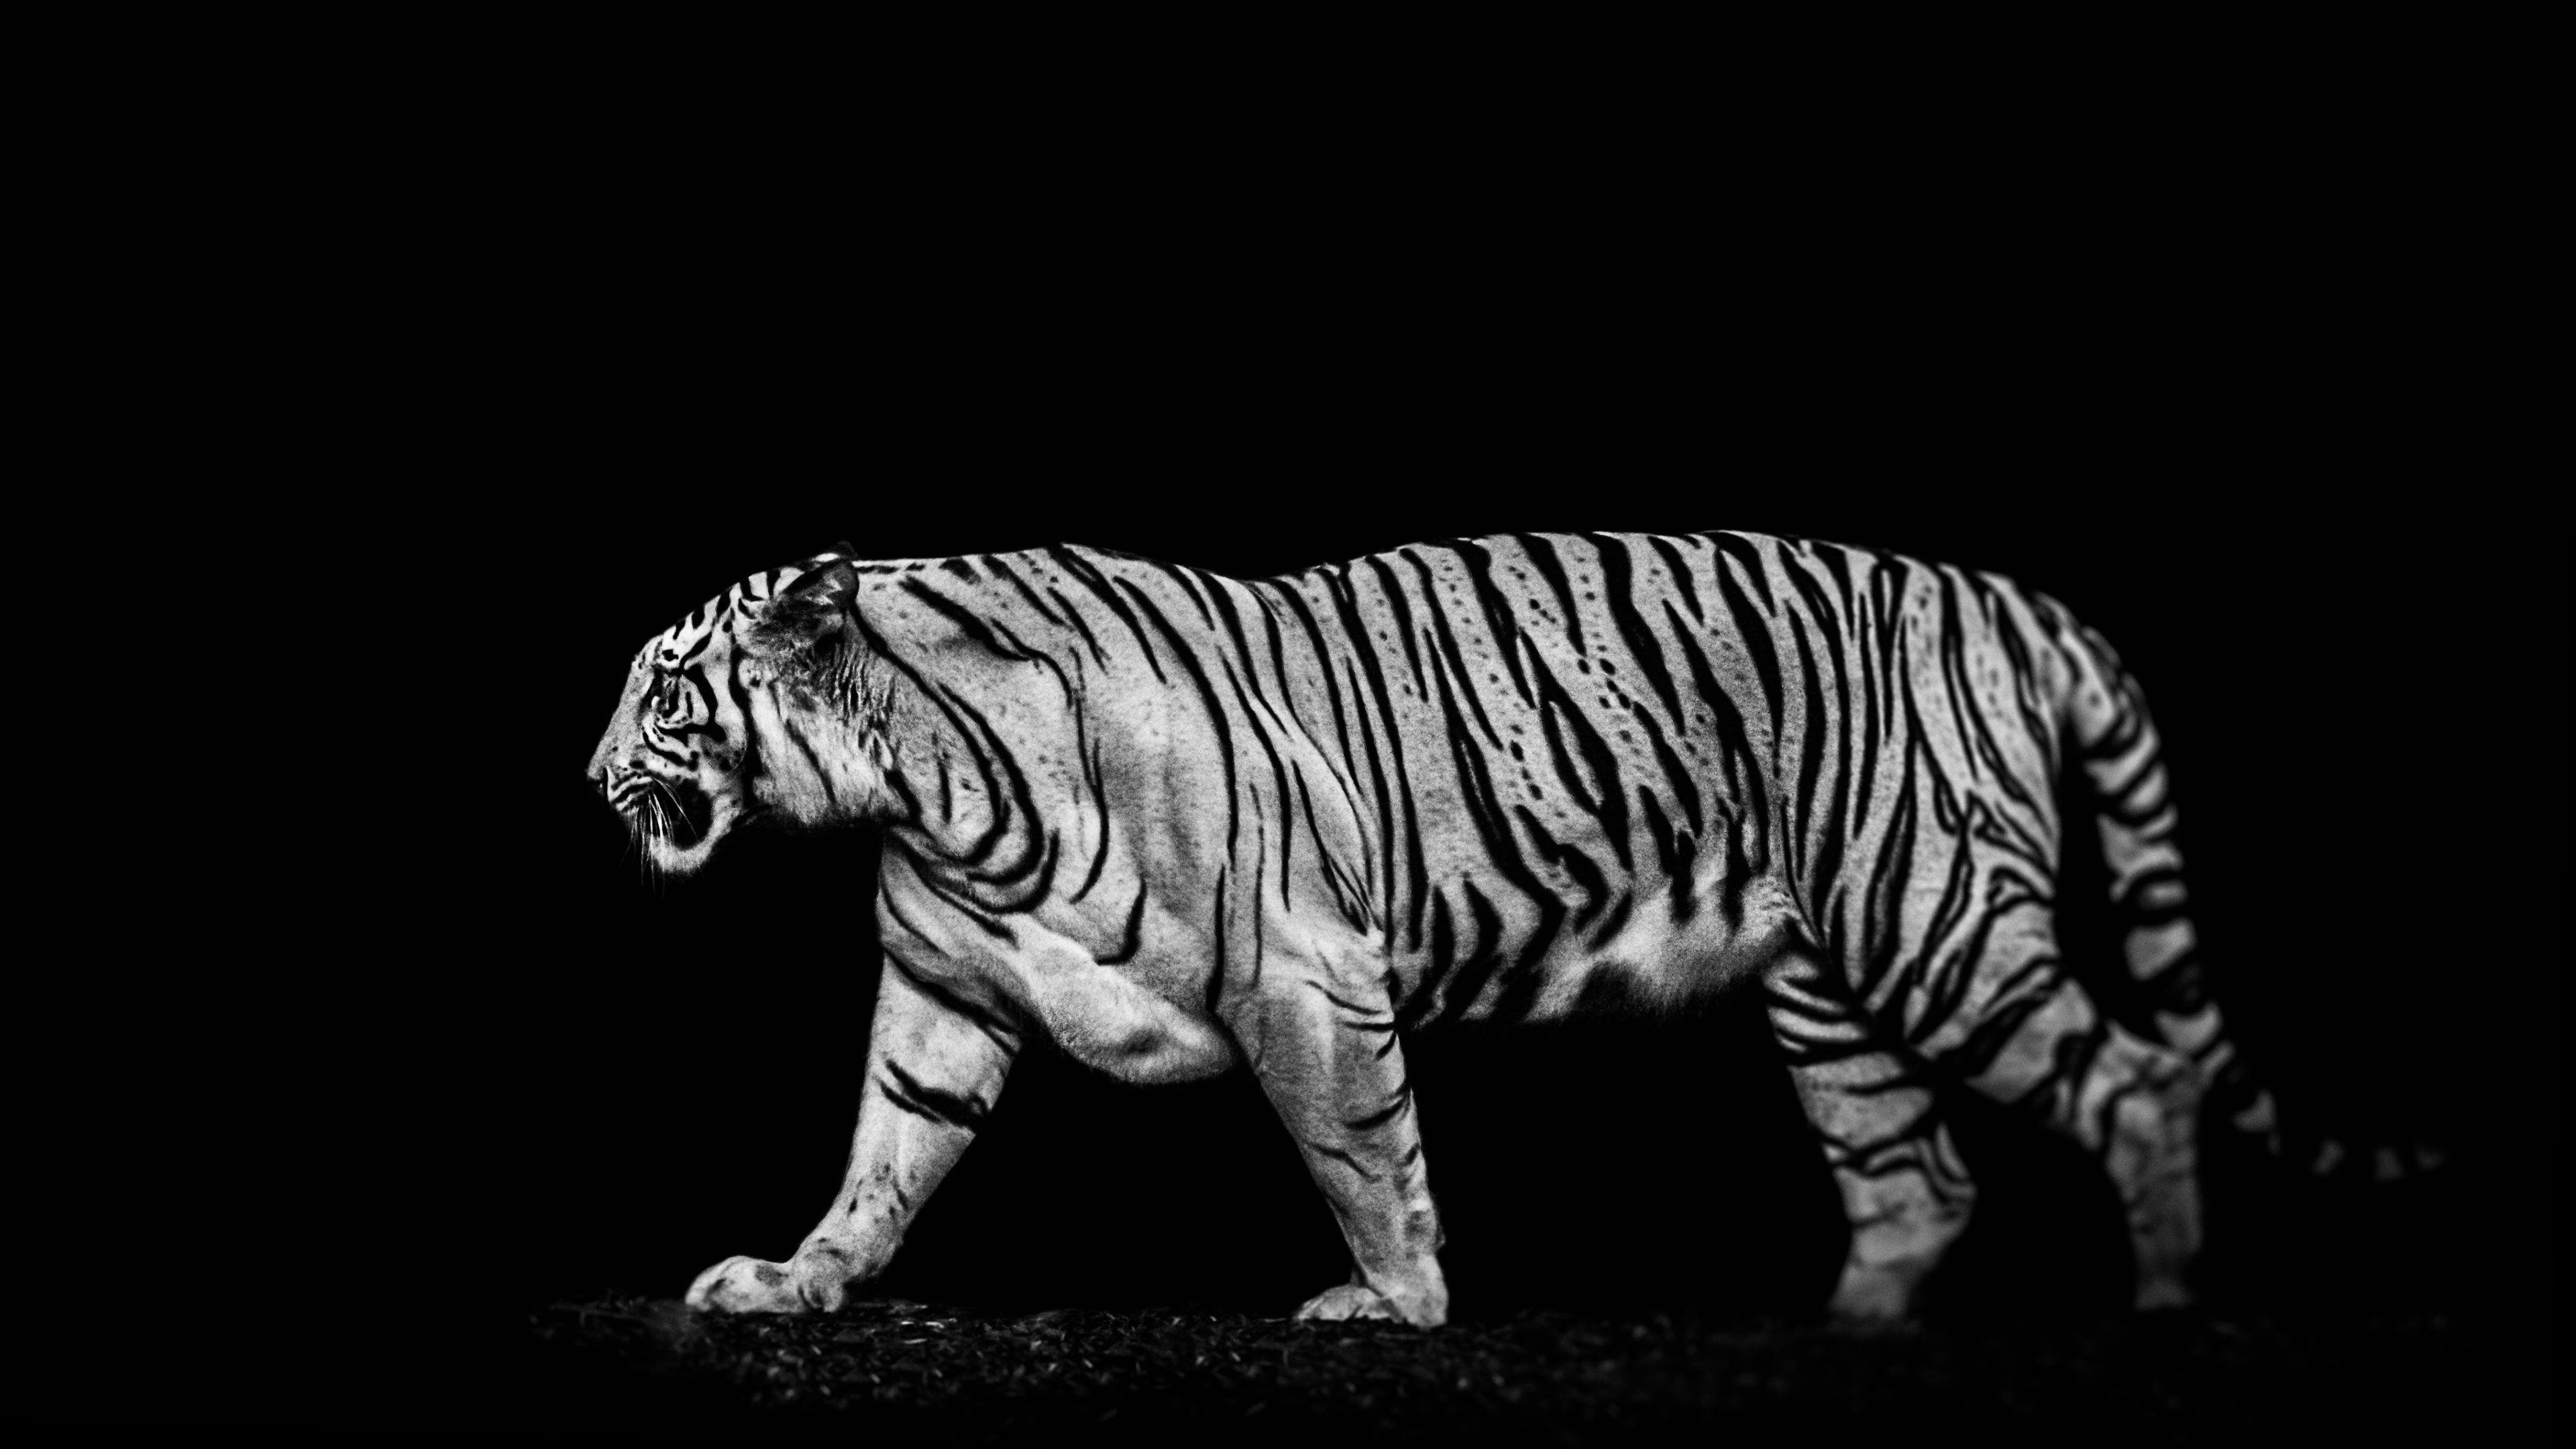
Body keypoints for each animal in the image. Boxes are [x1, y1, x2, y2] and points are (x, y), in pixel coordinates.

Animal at [584, 530, 2282, 1326]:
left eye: (664, 688)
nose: (590, 777)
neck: (924, 784)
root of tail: (2001, 596)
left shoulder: (1304, 976)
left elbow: (1359, 1154)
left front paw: (1393, 1303)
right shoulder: (948, 996)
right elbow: (884, 1157)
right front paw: (796, 1280)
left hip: (1932, 922)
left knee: (2137, 1083)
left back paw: (2162, 1303)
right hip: (1834, 995)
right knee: (1918, 1179)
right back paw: (1848, 1320)